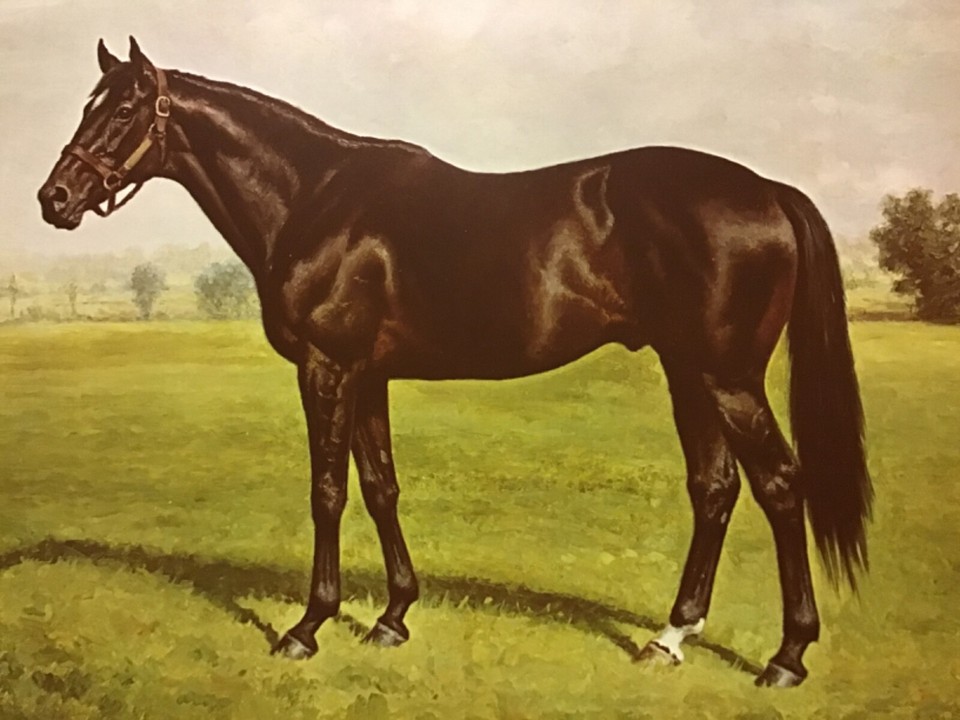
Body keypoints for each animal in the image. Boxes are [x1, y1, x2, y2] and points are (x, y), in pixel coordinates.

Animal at [38, 38, 872, 688]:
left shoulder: (327, 367)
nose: (55, 198)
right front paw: (392, 617)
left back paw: (787, 657)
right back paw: (669, 639)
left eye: (122, 111)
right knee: (715, 488)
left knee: (779, 485)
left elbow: (327, 492)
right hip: (687, 371)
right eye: (84, 106)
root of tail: (768, 192)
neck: (315, 199)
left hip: (728, 378)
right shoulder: (368, 375)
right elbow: (381, 488)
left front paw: (307, 627)